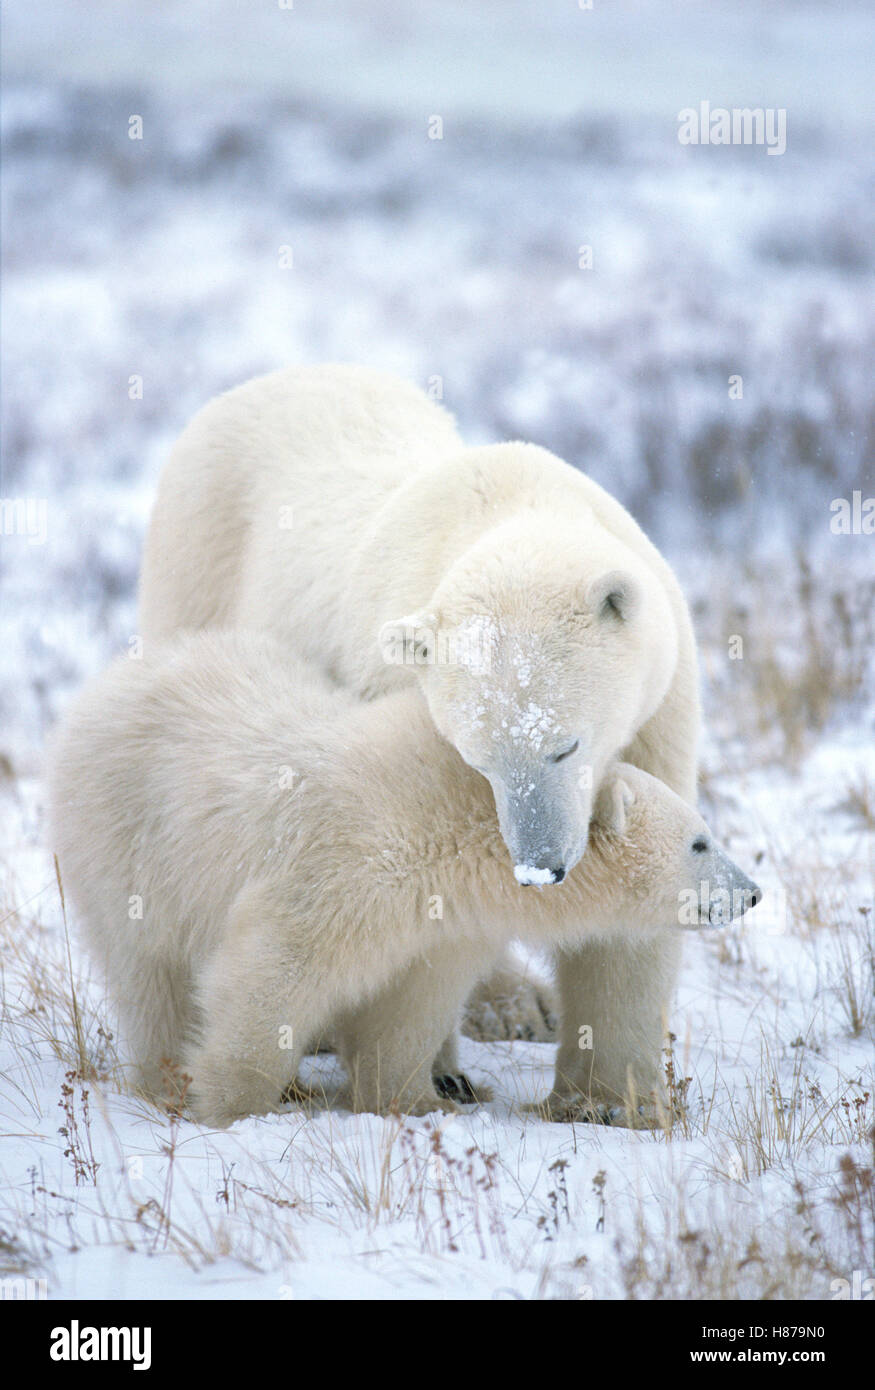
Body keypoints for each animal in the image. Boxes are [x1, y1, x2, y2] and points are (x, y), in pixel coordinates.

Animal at [47, 631, 758, 1128]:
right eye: (700, 841)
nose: (751, 892)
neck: (455, 821)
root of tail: (100, 689)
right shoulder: (340, 863)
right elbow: (270, 972)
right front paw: (237, 1106)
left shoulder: (441, 921)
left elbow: (410, 1007)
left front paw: (420, 1102)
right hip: (128, 844)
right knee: (150, 973)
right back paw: (169, 1079)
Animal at [137, 363, 701, 1120]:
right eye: (478, 759)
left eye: (564, 746)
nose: (542, 867)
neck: (511, 509)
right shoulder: (396, 687)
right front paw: (438, 1077)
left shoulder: (657, 709)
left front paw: (608, 1101)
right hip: (197, 570)